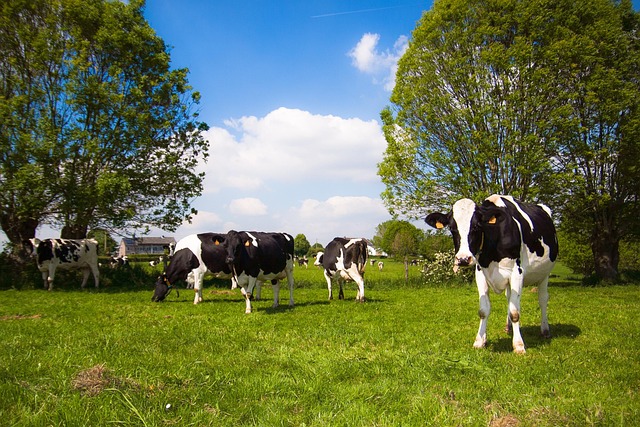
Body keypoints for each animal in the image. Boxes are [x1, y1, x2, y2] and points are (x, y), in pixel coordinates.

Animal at [425, 194, 559, 354]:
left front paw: (519, 346)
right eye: (452, 228)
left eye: (477, 226)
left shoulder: (517, 273)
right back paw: (508, 328)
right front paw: (480, 341)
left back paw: (545, 330)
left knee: (543, 299)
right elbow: (484, 310)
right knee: (509, 298)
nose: (463, 259)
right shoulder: (480, 274)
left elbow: (515, 312)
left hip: (545, 274)